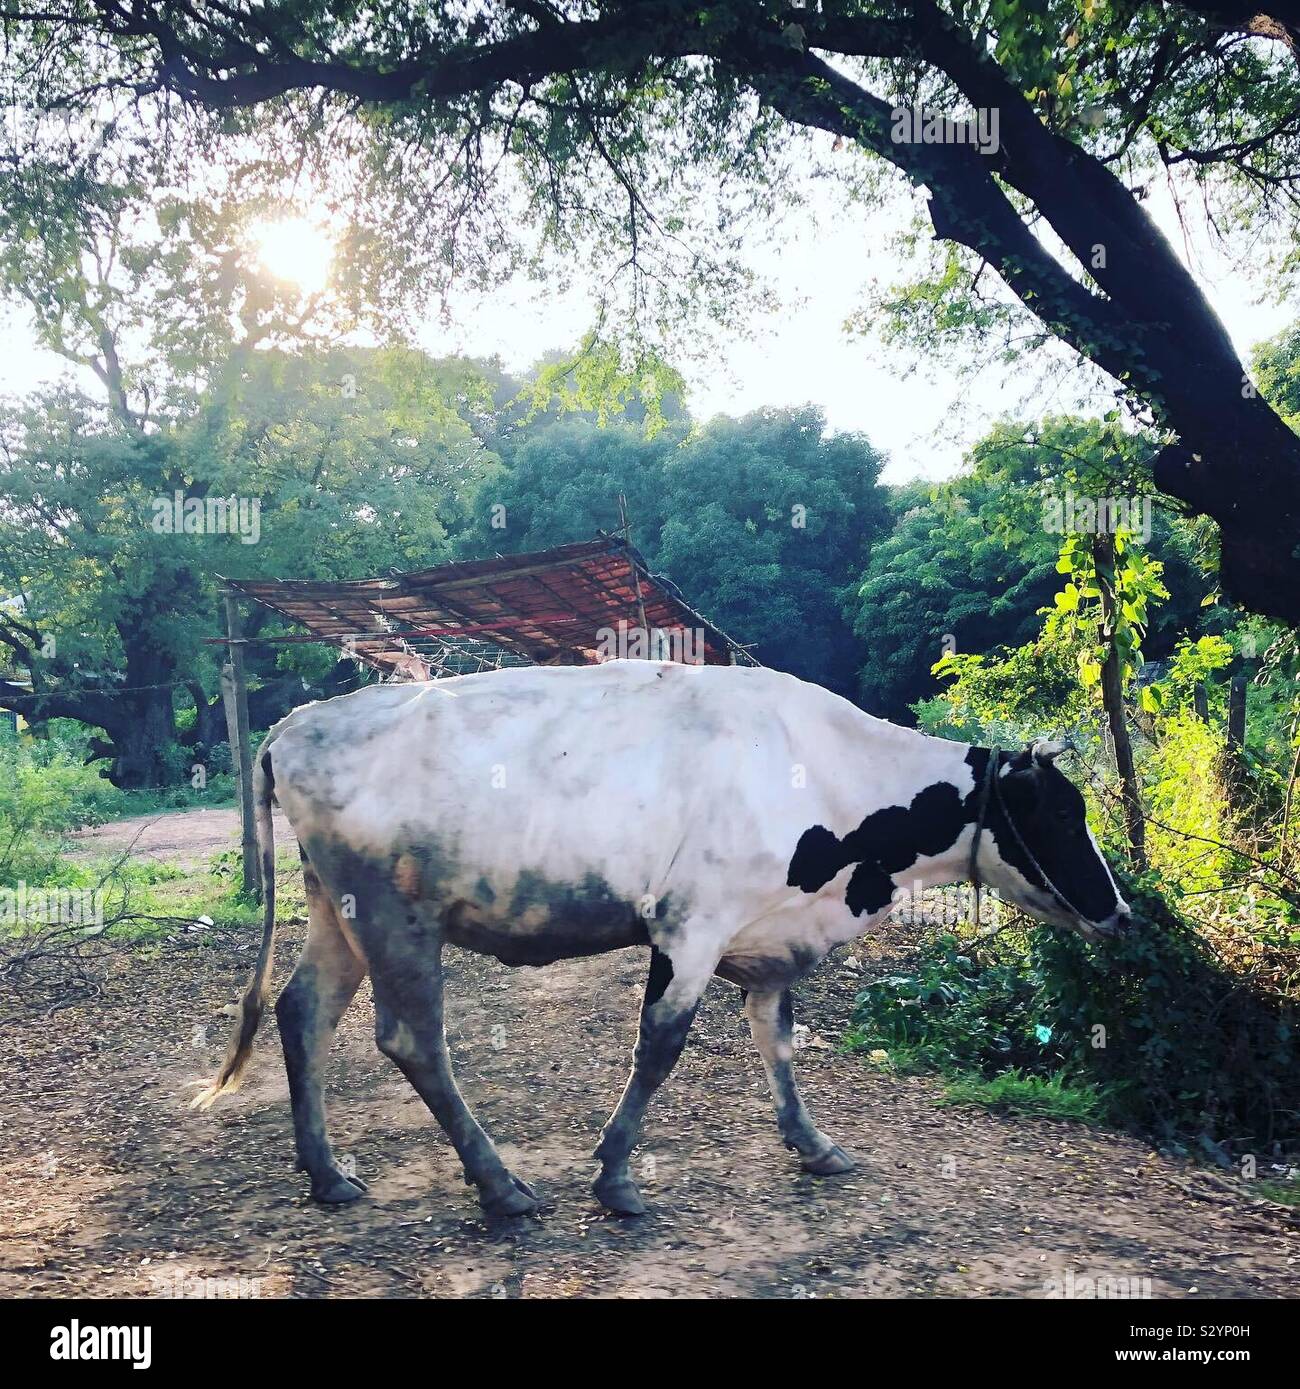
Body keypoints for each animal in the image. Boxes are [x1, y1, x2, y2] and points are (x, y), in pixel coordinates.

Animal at [191, 659, 1130, 1217]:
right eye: (1058, 811)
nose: (1121, 911)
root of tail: (296, 722)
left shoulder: (765, 934)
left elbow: (777, 1040)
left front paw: (814, 1145)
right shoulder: (691, 921)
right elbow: (661, 1045)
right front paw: (615, 1177)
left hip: (335, 907)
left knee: (303, 1012)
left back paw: (328, 1174)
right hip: (395, 914)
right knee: (412, 1039)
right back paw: (501, 1187)